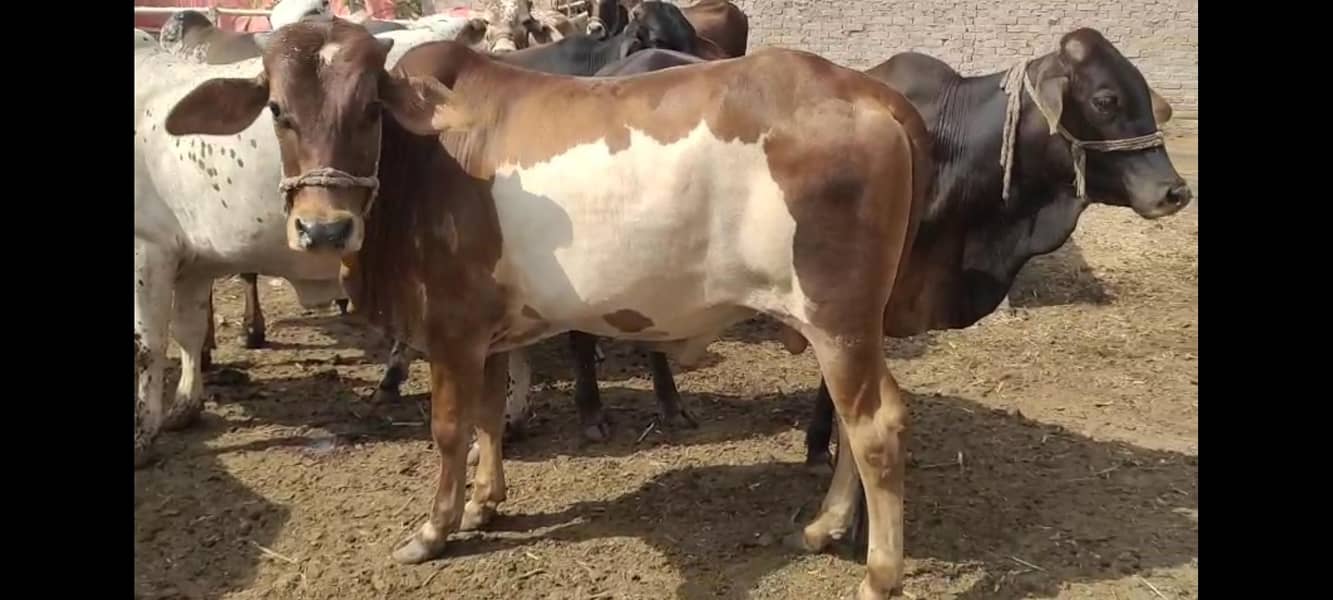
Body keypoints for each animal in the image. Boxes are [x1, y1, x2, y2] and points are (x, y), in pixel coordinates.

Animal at [133, 21, 492, 468]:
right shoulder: (194, 259)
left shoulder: (148, 248)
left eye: (373, 108)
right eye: (274, 109)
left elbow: (149, 345)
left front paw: (142, 434)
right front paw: (185, 405)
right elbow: (188, 331)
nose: (324, 232)